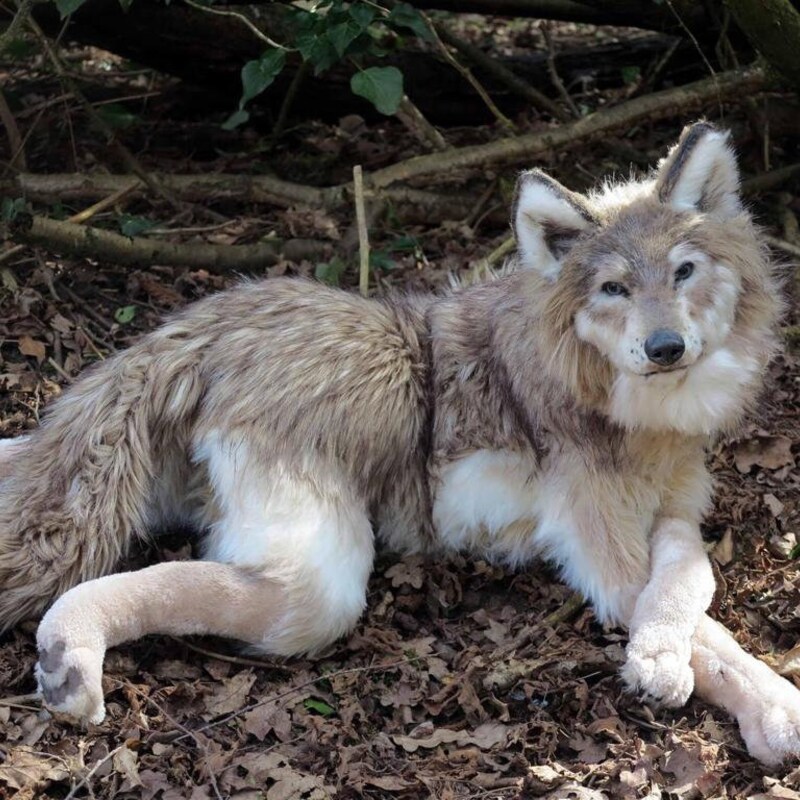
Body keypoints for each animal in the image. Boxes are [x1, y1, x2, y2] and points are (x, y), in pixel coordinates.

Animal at [0, 122, 797, 764]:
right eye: (612, 289)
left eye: (684, 271)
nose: (665, 348)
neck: (637, 415)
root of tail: (193, 331)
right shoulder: (604, 555)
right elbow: (716, 641)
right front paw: (761, 701)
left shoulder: (674, 518)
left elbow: (694, 574)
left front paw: (664, 646)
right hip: (327, 574)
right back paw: (67, 653)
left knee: (29, 457)